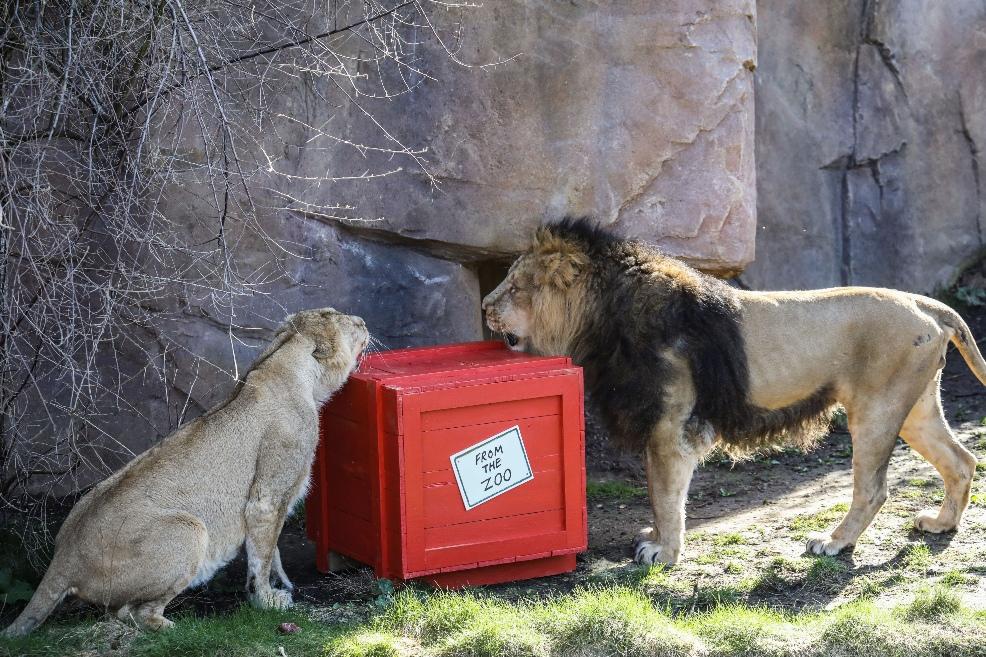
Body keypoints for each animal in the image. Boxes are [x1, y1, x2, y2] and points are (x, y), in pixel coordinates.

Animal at [3, 308, 369, 636]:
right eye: (347, 322)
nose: (364, 322)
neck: (284, 360)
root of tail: (64, 558)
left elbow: (271, 548)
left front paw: (282, 583)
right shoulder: (267, 497)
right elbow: (261, 554)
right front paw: (266, 600)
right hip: (189, 530)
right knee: (131, 612)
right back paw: (172, 627)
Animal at [483, 218, 984, 565]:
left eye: (515, 285)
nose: (485, 305)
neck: (603, 319)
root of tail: (926, 302)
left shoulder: (671, 428)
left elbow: (665, 494)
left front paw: (663, 554)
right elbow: (659, 496)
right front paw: (654, 541)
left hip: (876, 408)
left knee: (874, 488)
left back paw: (833, 542)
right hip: (915, 408)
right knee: (962, 460)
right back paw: (941, 524)